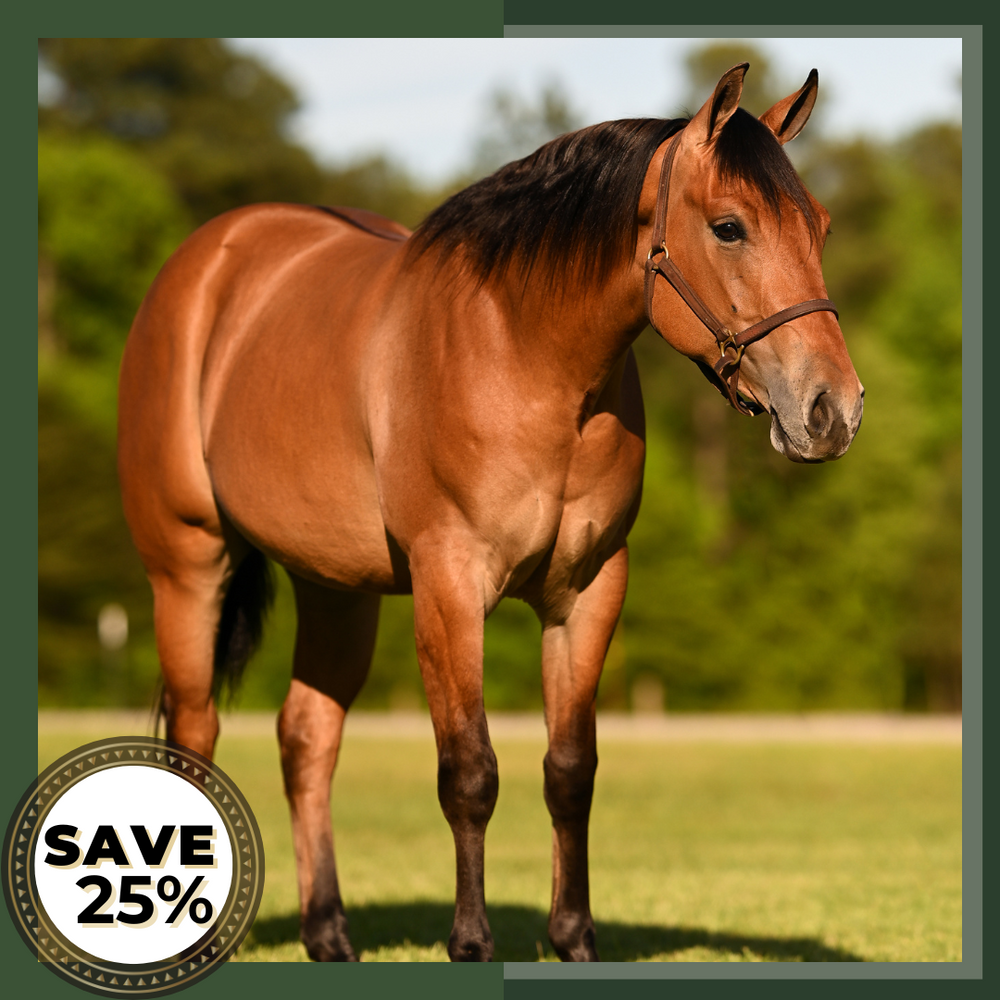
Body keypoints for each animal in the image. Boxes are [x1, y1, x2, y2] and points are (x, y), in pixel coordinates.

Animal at [118, 63, 863, 962]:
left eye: (820, 226)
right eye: (729, 227)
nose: (832, 410)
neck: (525, 353)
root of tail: (207, 261)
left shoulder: (588, 591)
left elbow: (570, 770)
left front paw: (573, 938)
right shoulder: (449, 585)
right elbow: (469, 771)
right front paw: (471, 943)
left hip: (335, 586)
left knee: (306, 738)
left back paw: (328, 933)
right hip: (187, 564)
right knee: (195, 735)